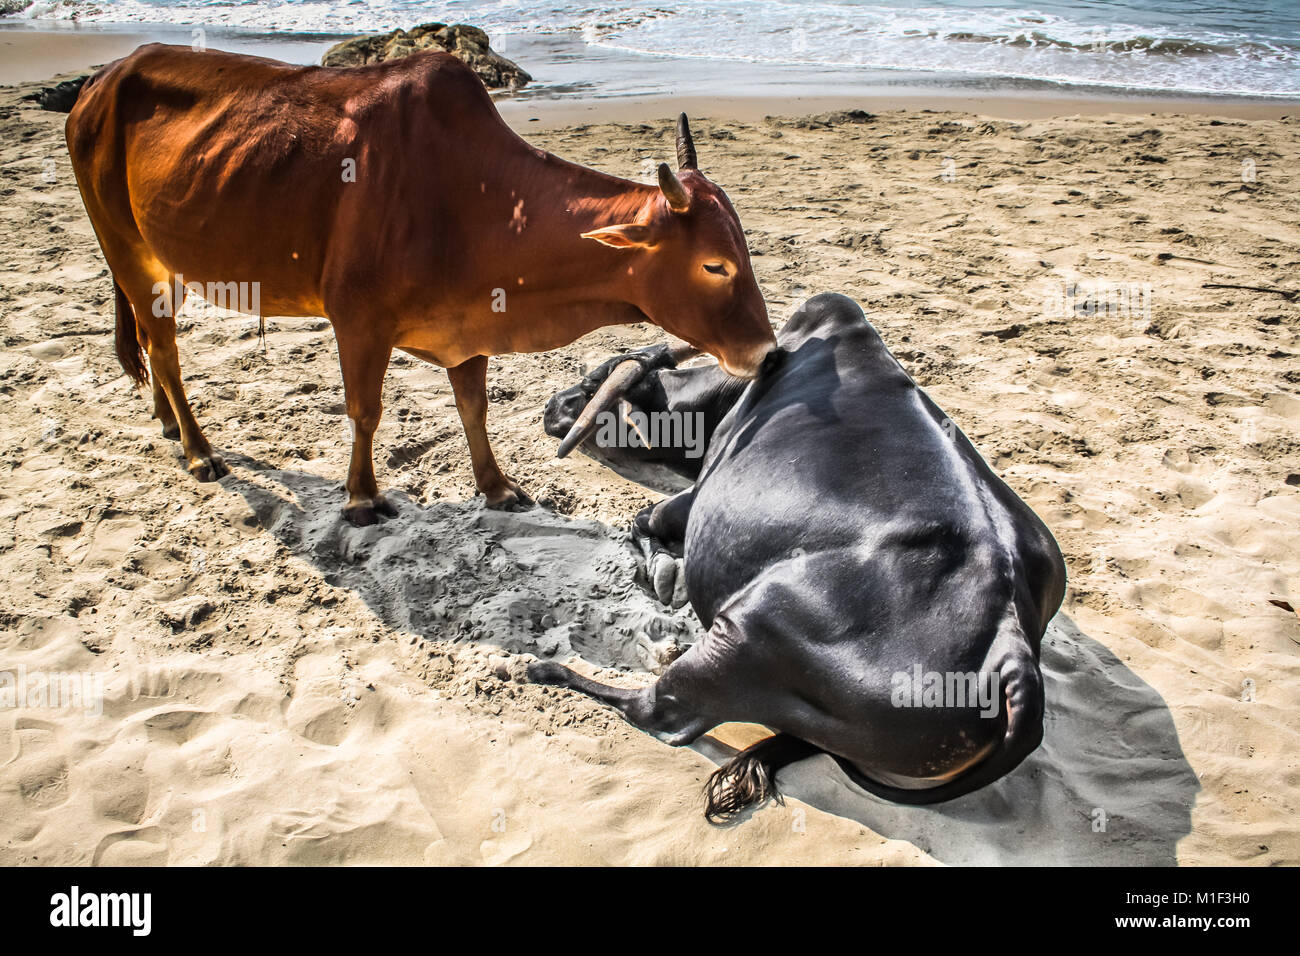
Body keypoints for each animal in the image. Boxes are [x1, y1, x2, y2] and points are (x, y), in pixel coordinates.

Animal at [64, 44, 776, 525]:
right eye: (714, 265)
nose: (768, 355)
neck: (473, 196)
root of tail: (101, 79)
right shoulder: (357, 319)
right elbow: (365, 410)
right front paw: (360, 497)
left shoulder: (472, 325)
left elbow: (473, 407)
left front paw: (496, 487)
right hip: (128, 250)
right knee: (163, 349)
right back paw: (197, 449)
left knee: (149, 344)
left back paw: (165, 422)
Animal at [533, 293, 1067, 822]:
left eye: (592, 384)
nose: (549, 404)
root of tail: (1013, 649)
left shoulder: (698, 493)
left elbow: (644, 520)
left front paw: (666, 573)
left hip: (744, 630)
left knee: (658, 711)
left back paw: (550, 670)